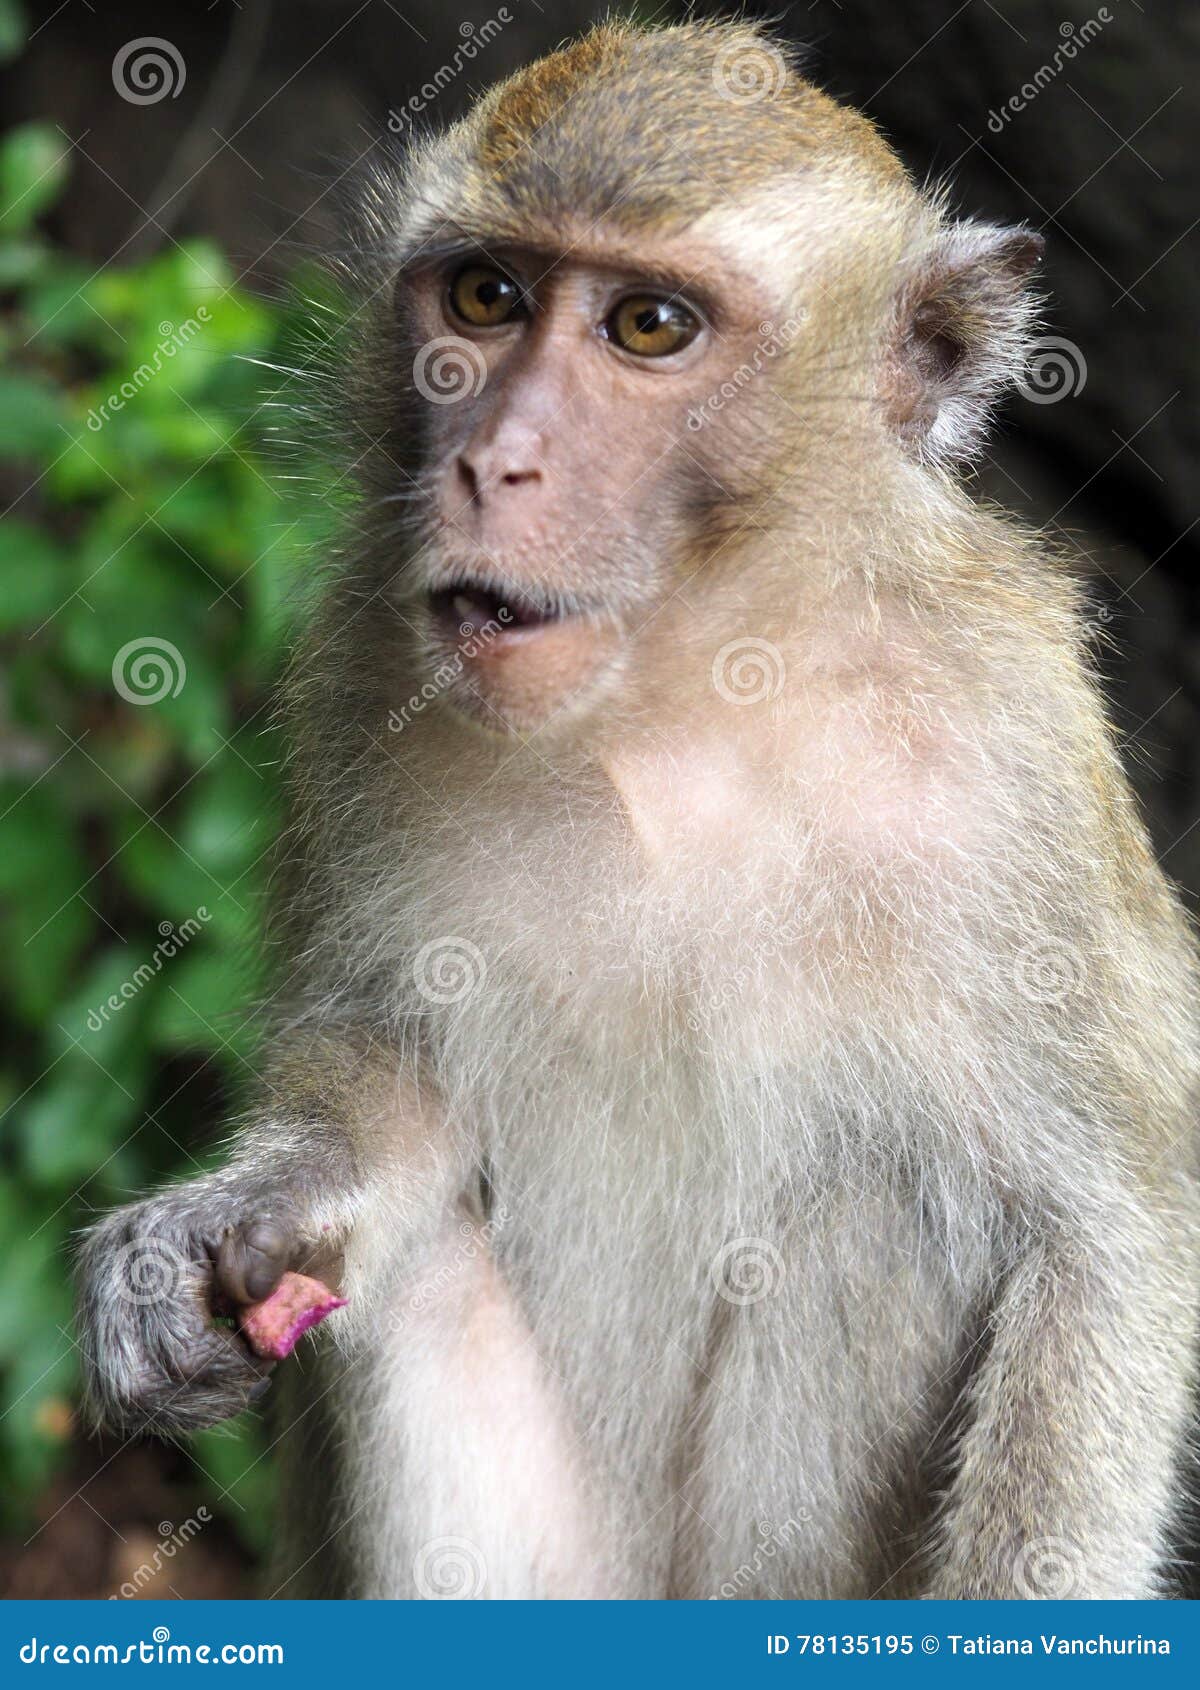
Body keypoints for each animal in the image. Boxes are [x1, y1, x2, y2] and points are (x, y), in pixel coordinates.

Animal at [75, 18, 1199, 1601]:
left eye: (650, 328)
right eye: (485, 296)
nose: (495, 461)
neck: (685, 693)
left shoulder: (1017, 750)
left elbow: (1108, 1248)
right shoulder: (361, 664)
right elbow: (394, 1087)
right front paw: (214, 1227)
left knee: (877, 1209)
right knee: (424, 1269)